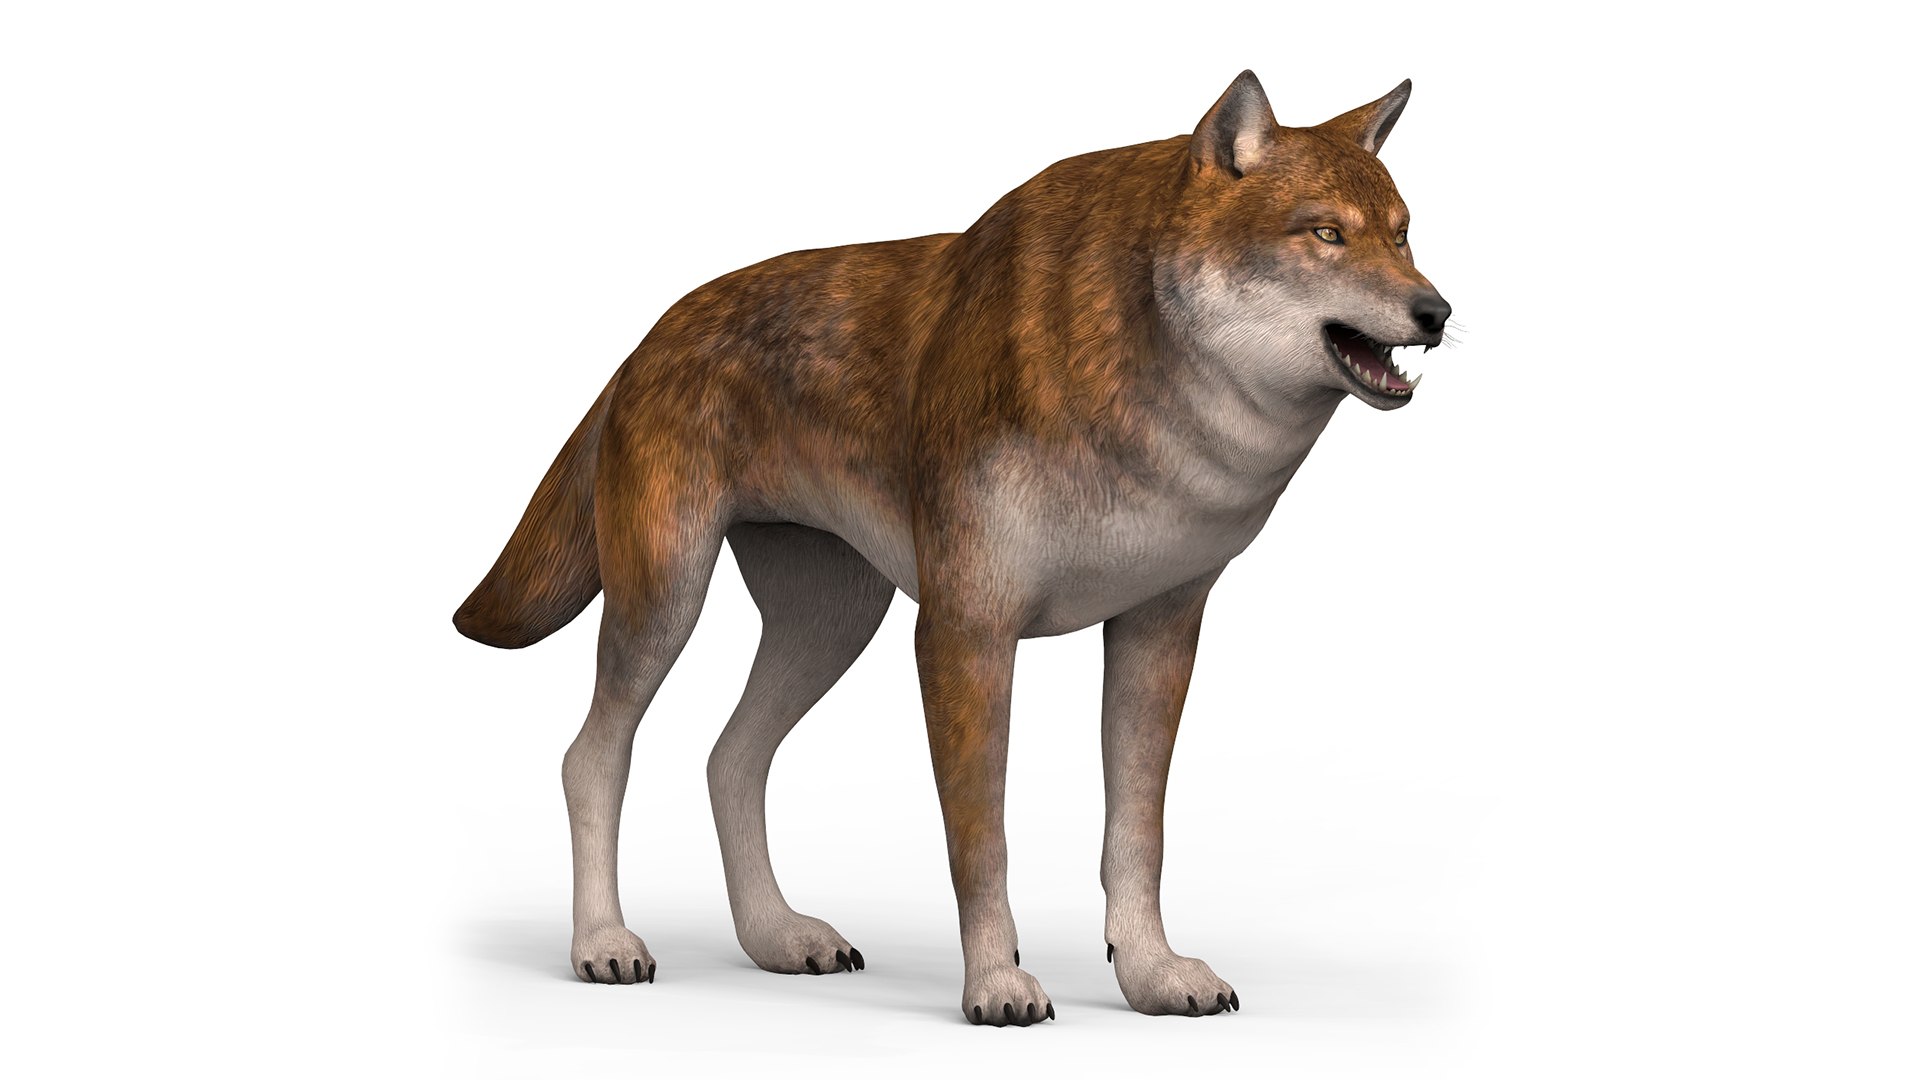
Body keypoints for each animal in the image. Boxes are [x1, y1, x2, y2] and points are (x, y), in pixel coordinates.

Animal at [454, 70, 1450, 1025]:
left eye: (1404, 237)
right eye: (1326, 234)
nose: (1437, 311)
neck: (1149, 407)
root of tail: (646, 340)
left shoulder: (1157, 631)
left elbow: (1138, 837)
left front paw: (1153, 974)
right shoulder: (964, 633)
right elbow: (981, 844)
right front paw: (997, 986)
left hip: (833, 627)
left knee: (729, 757)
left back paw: (779, 936)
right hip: (669, 603)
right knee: (593, 757)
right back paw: (604, 943)